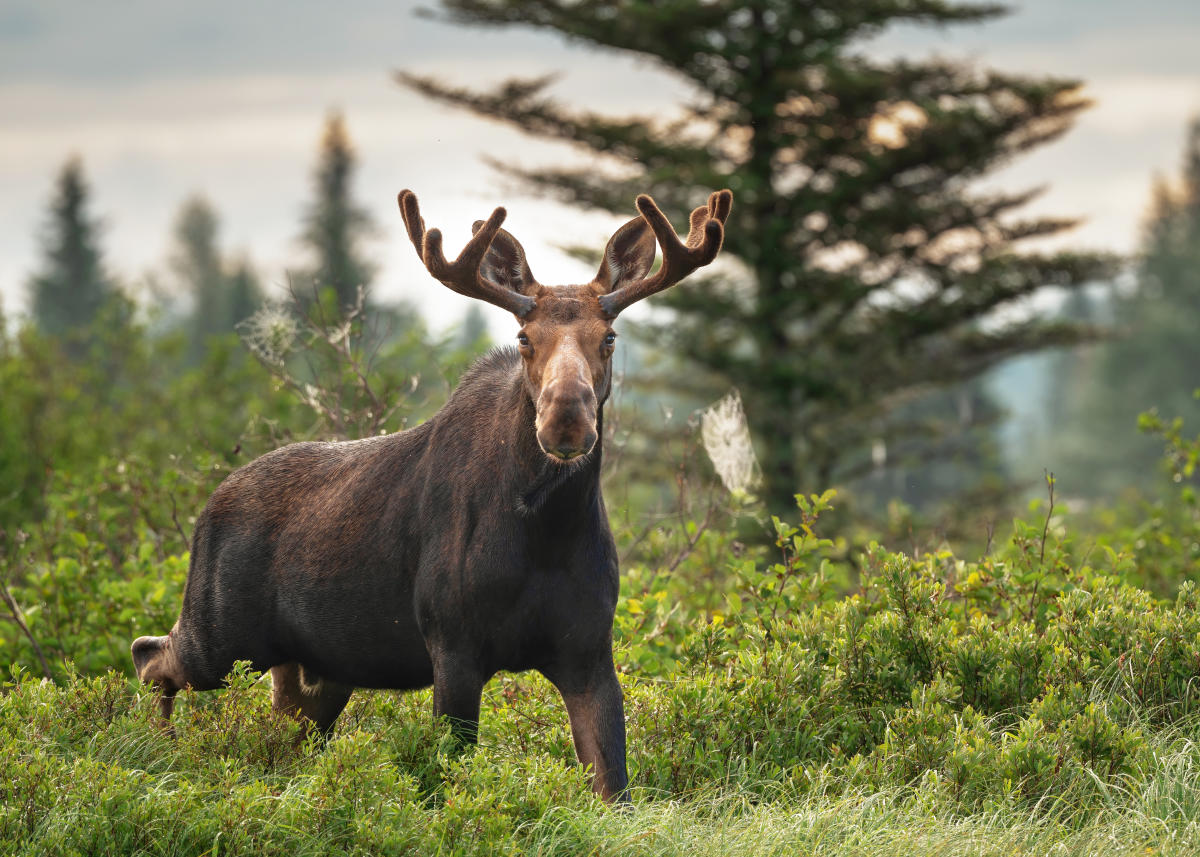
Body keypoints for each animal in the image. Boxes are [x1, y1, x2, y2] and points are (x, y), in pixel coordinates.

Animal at [131, 187, 732, 801]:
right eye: (523, 338)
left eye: (608, 338)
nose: (566, 419)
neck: (544, 533)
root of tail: (208, 507)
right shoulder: (453, 644)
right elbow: (448, 778)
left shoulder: (588, 649)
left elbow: (616, 789)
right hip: (221, 633)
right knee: (148, 654)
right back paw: (157, 753)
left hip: (316, 669)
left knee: (277, 735)